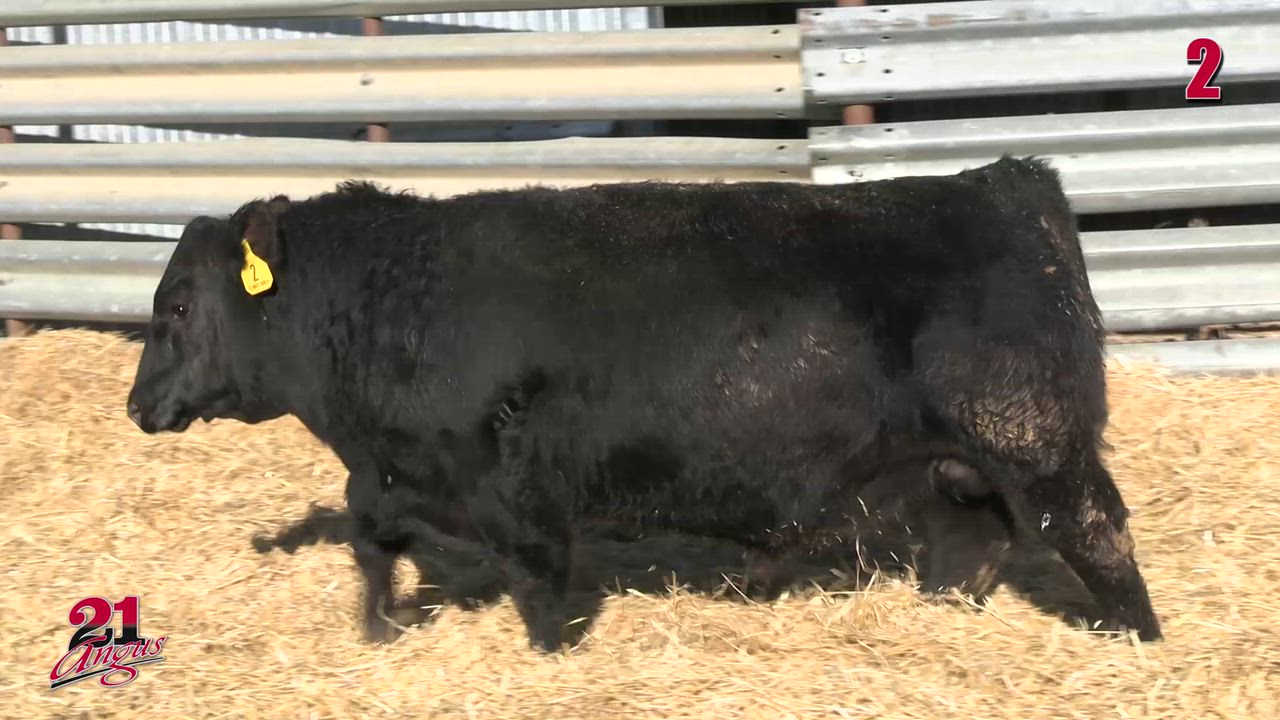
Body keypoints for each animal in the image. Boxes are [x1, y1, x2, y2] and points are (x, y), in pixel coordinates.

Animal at [125, 156, 1163, 651]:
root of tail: (1004, 183)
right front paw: (384, 625)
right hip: (954, 466)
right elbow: (371, 539)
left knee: (1101, 539)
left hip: (1042, 450)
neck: (392, 296)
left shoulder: (519, 488)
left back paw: (1134, 643)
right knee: (972, 545)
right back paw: (947, 610)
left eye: (176, 305)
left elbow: (541, 584)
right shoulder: (393, 472)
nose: (137, 405)